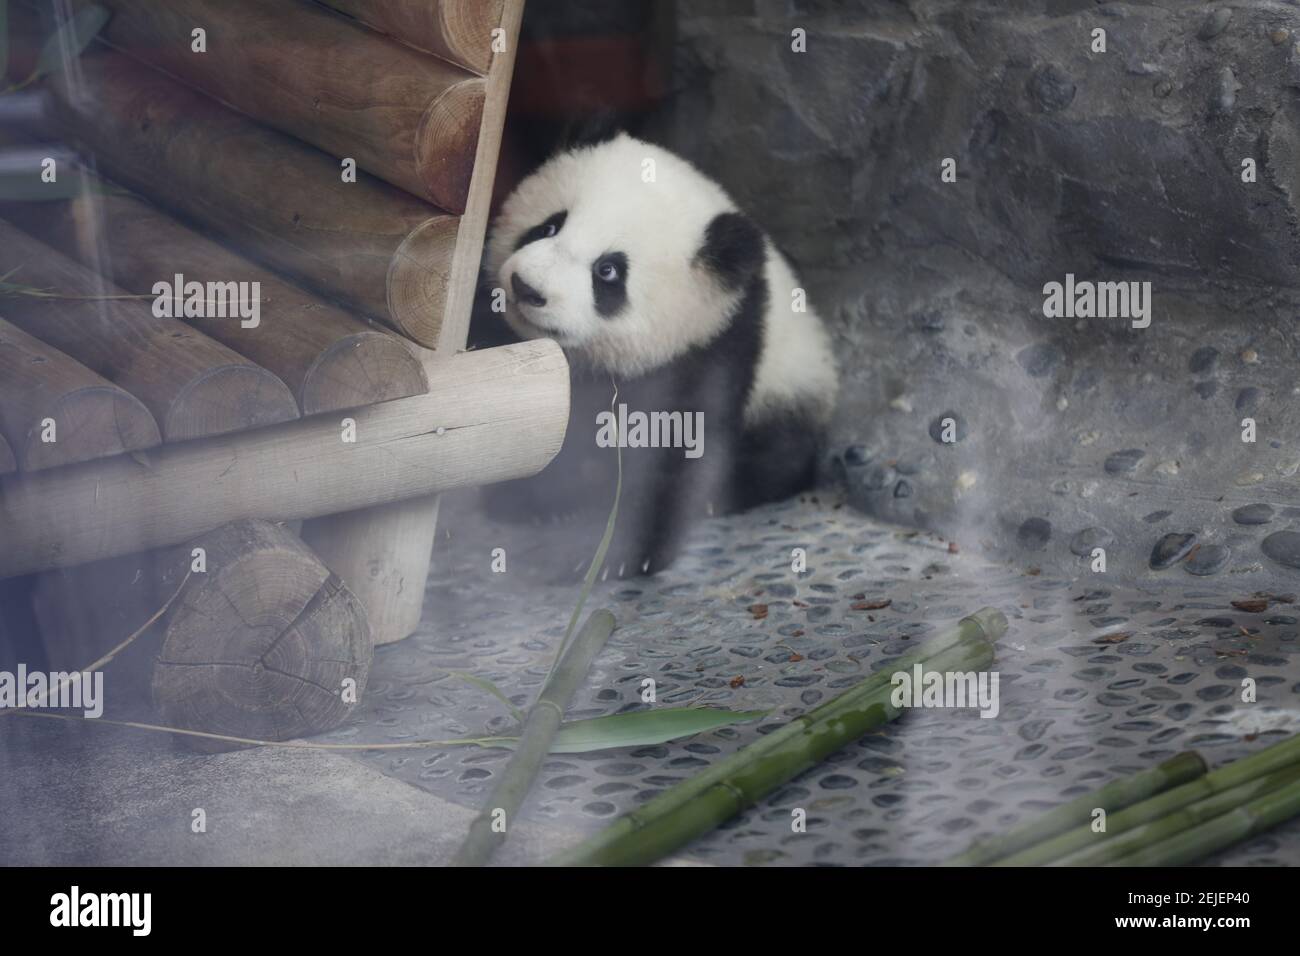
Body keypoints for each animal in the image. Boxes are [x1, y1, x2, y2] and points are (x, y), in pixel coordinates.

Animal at [482, 130, 838, 578]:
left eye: (608, 271)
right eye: (548, 225)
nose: (527, 287)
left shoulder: (718, 346)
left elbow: (680, 447)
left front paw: (604, 553)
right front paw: (530, 498)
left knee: (777, 457)